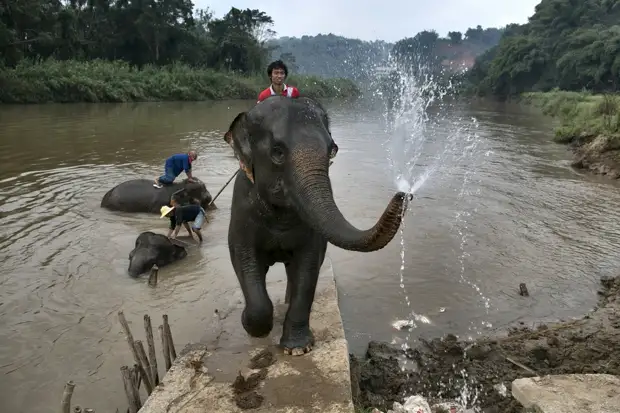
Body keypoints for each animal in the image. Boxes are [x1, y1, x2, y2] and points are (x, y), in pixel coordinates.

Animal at [224, 96, 412, 354]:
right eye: (277, 152)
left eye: (332, 150)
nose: (405, 194)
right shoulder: (242, 209)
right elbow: (243, 258)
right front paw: (251, 325)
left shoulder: (313, 235)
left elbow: (308, 265)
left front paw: (297, 349)